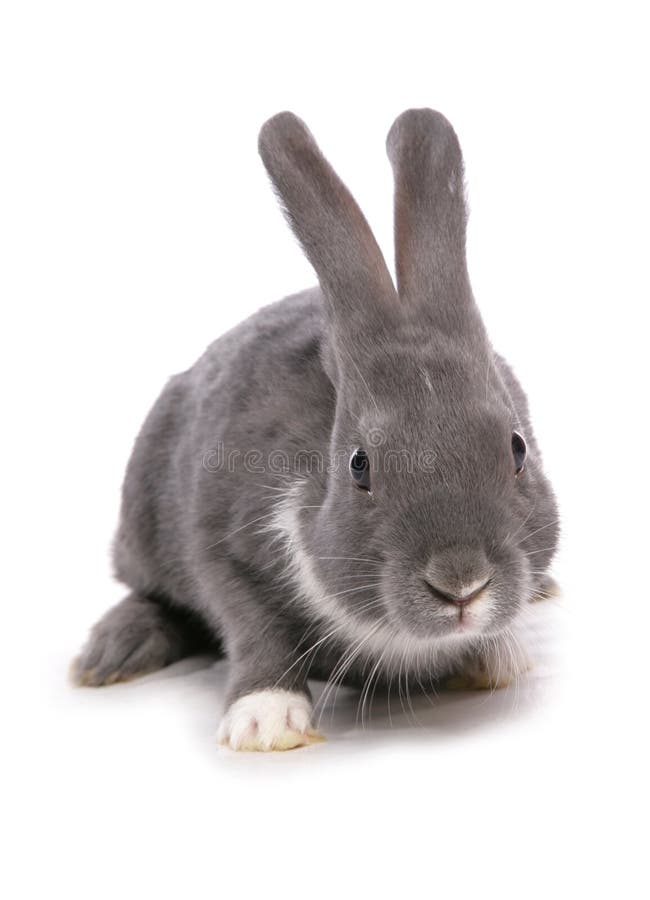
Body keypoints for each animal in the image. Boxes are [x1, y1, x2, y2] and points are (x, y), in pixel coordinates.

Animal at [72, 108, 559, 751]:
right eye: (359, 465)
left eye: (517, 448)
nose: (462, 583)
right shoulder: (222, 545)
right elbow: (256, 630)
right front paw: (265, 721)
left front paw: (498, 657)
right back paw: (111, 654)